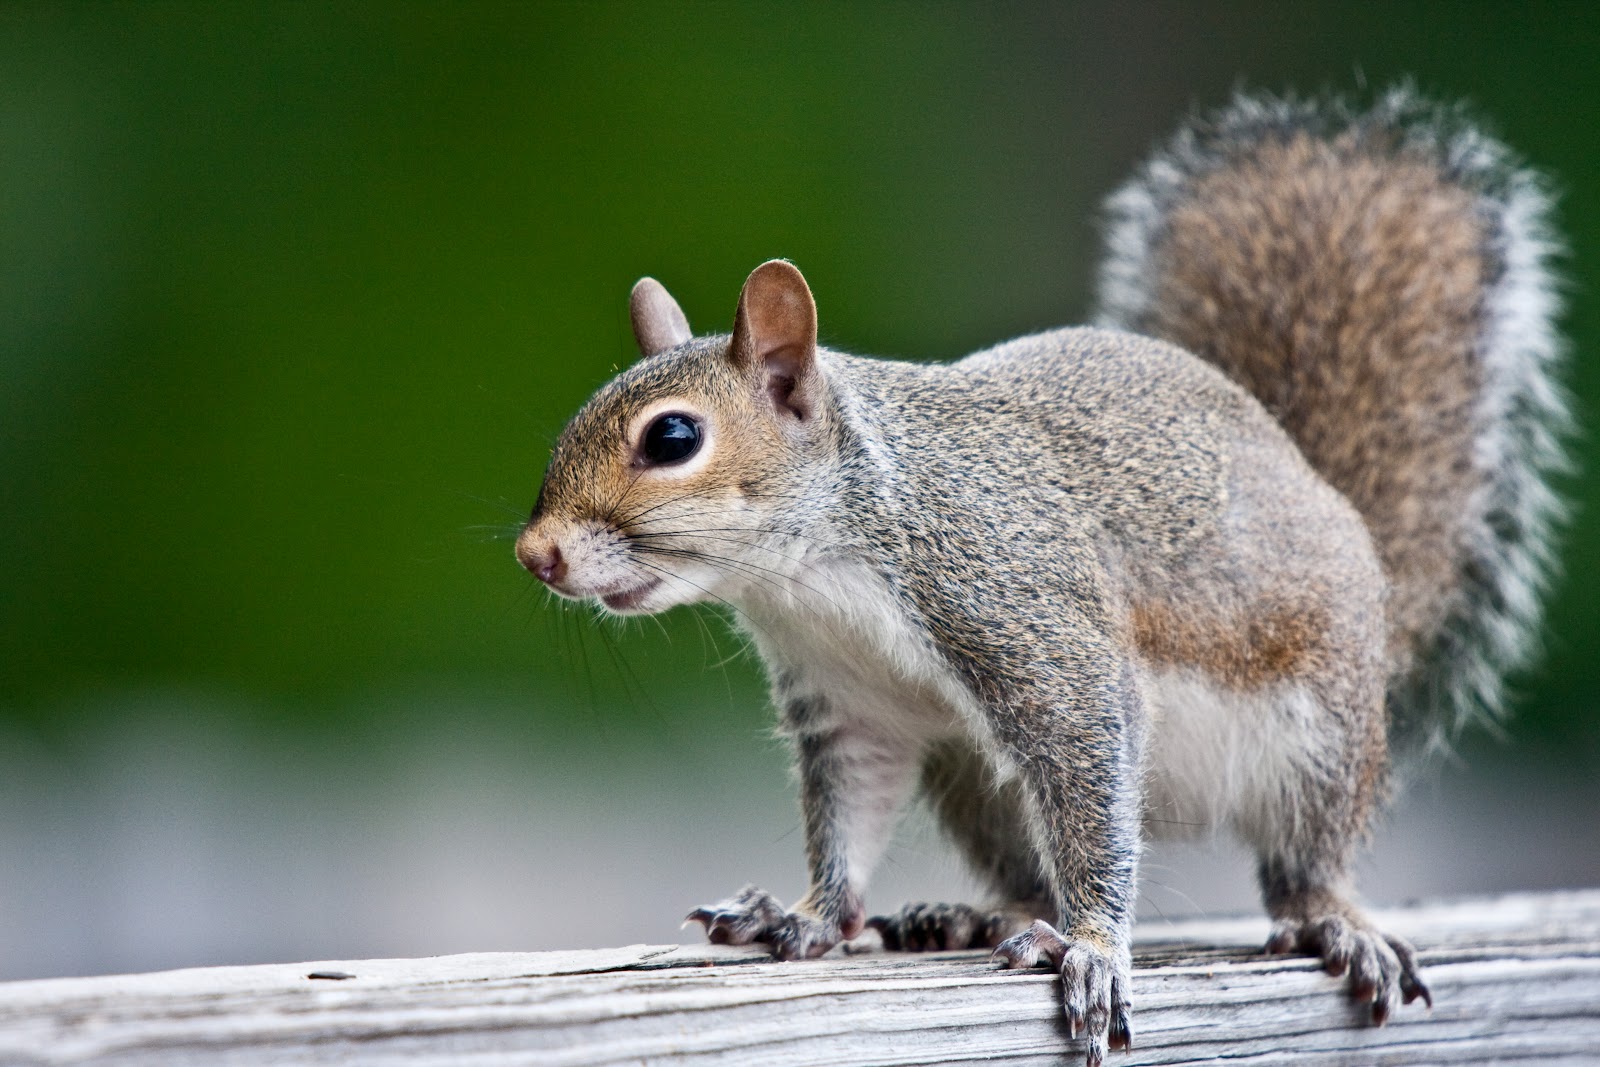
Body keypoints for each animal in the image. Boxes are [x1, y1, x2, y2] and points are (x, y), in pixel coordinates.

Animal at [515, 88, 1567, 1065]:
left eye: (673, 438)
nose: (536, 554)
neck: (817, 576)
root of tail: (1334, 508)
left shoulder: (1026, 614)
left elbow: (1089, 771)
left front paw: (1094, 948)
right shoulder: (853, 701)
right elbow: (850, 810)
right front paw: (808, 916)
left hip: (1319, 733)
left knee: (1303, 860)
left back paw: (1328, 920)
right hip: (976, 780)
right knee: (1025, 865)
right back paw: (982, 915)